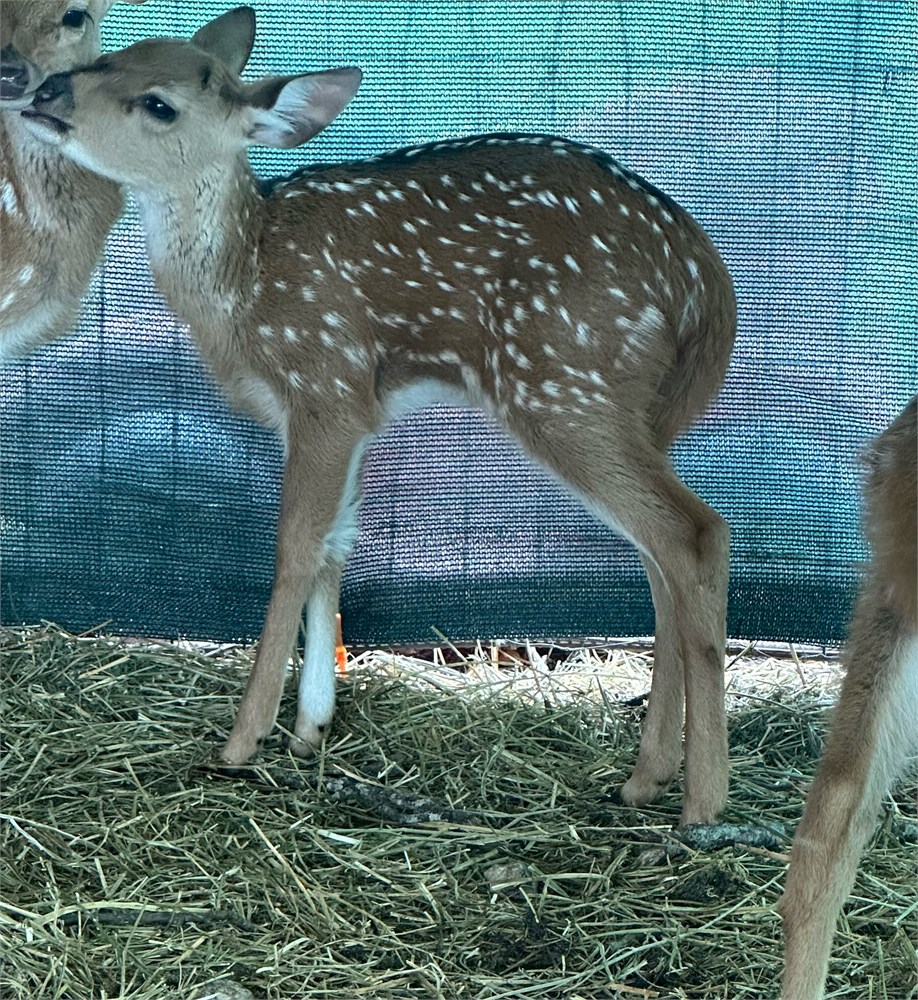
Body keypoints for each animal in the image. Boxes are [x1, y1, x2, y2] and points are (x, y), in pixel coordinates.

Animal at [22, 6, 737, 828]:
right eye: (111, 53)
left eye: (159, 102)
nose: (44, 92)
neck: (244, 286)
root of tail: (702, 279)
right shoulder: (356, 412)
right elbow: (337, 546)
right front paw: (310, 728)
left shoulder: (324, 383)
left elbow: (295, 548)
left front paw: (244, 740)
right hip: (628, 409)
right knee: (659, 555)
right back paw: (644, 777)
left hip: (563, 381)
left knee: (692, 533)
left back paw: (702, 804)